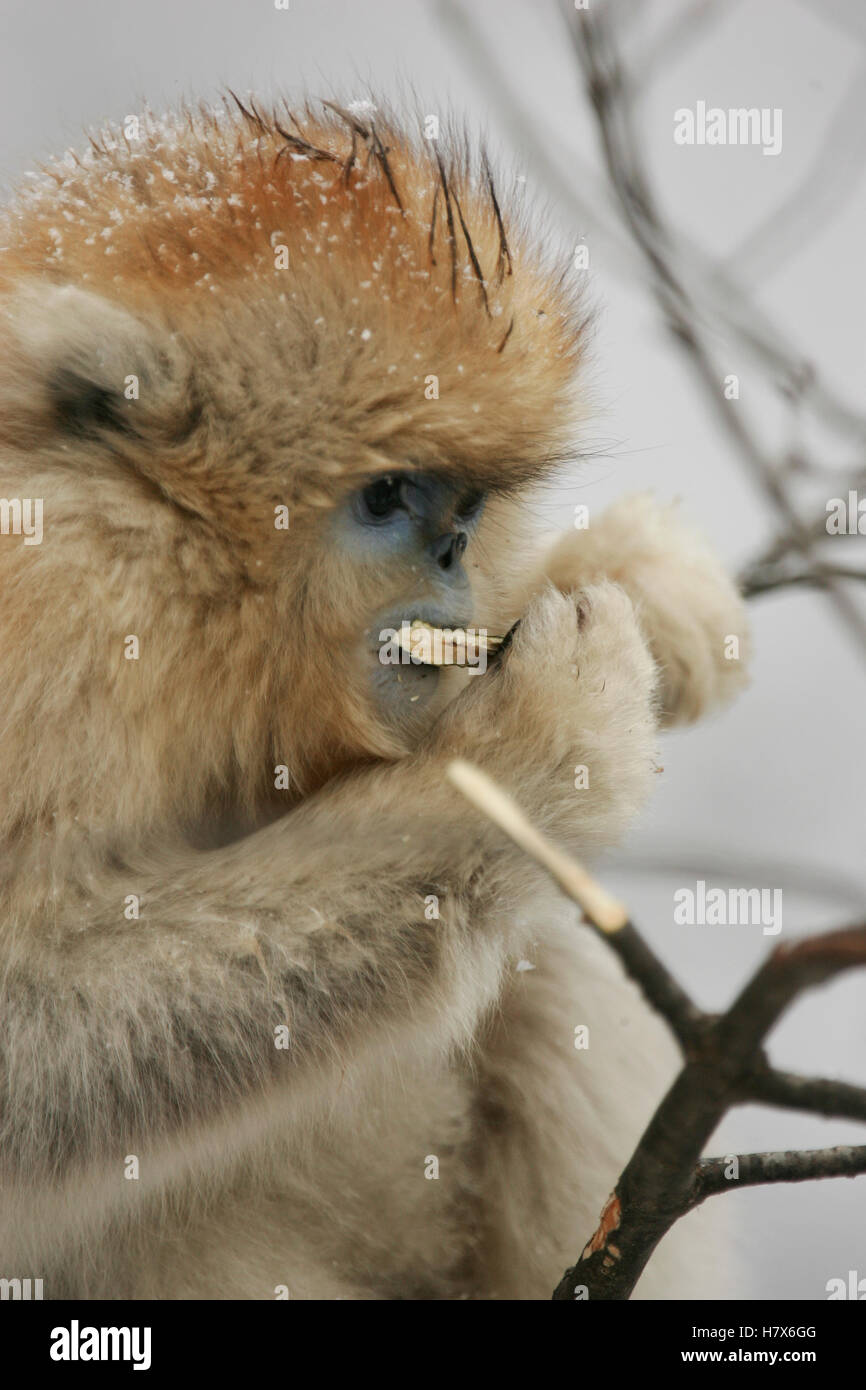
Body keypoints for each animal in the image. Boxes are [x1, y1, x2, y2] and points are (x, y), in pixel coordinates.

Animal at [0, 98, 748, 1300]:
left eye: (468, 507)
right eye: (389, 497)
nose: (452, 556)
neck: (194, 578)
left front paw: (645, 584)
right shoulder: (59, 595)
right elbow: (27, 1047)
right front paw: (530, 758)